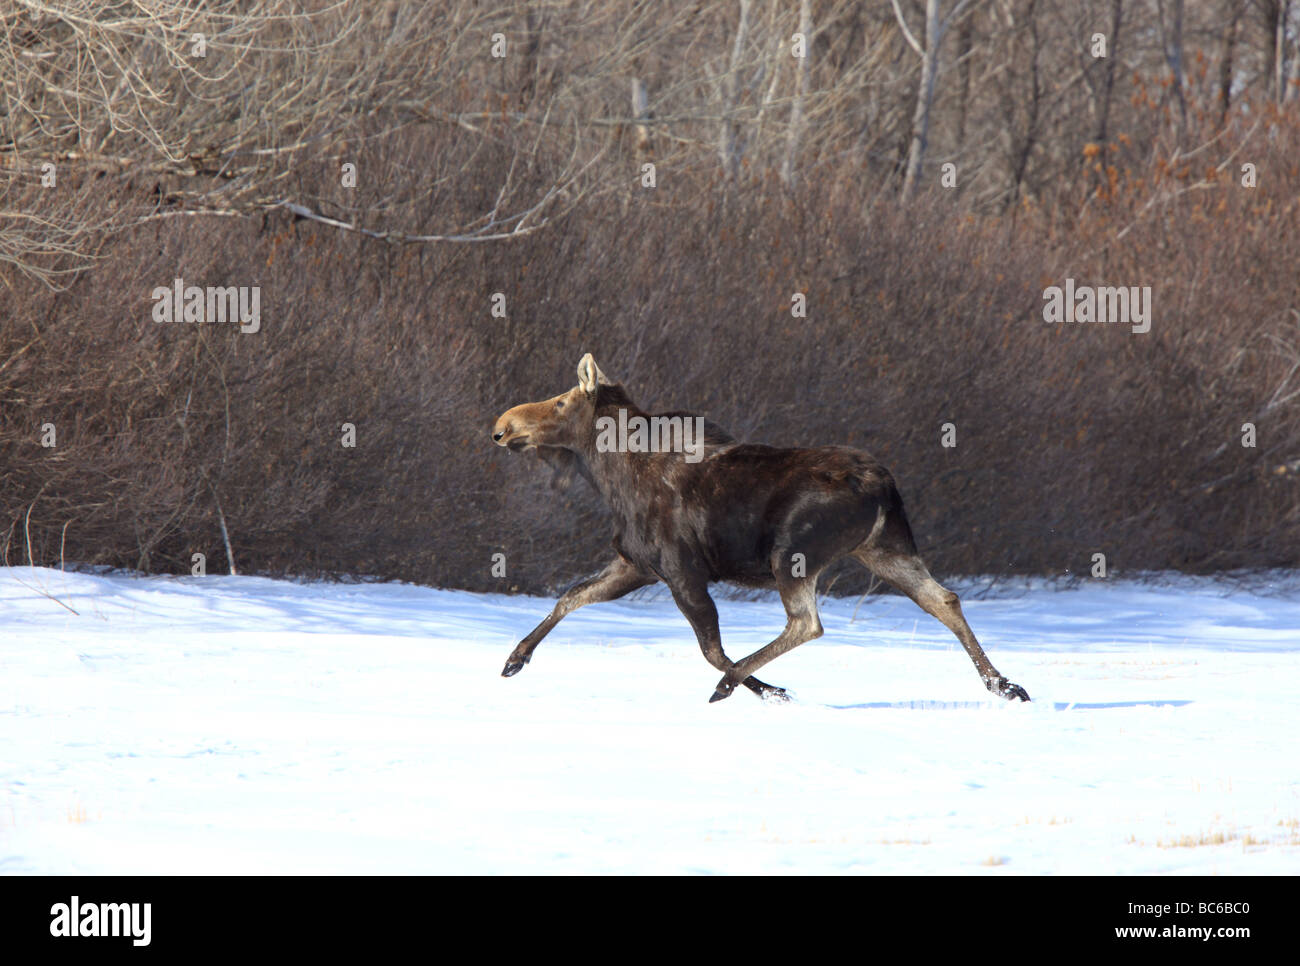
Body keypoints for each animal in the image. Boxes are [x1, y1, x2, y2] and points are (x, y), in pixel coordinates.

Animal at [491, 356, 1029, 702]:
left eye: (561, 403)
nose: (502, 425)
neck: (610, 477)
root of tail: (884, 486)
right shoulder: (635, 564)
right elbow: (571, 596)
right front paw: (515, 659)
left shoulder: (681, 571)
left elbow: (711, 649)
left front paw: (763, 690)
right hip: (885, 548)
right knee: (944, 600)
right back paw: (1004, 685)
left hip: (793, 554)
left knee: (807, 623)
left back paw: (732, 686)